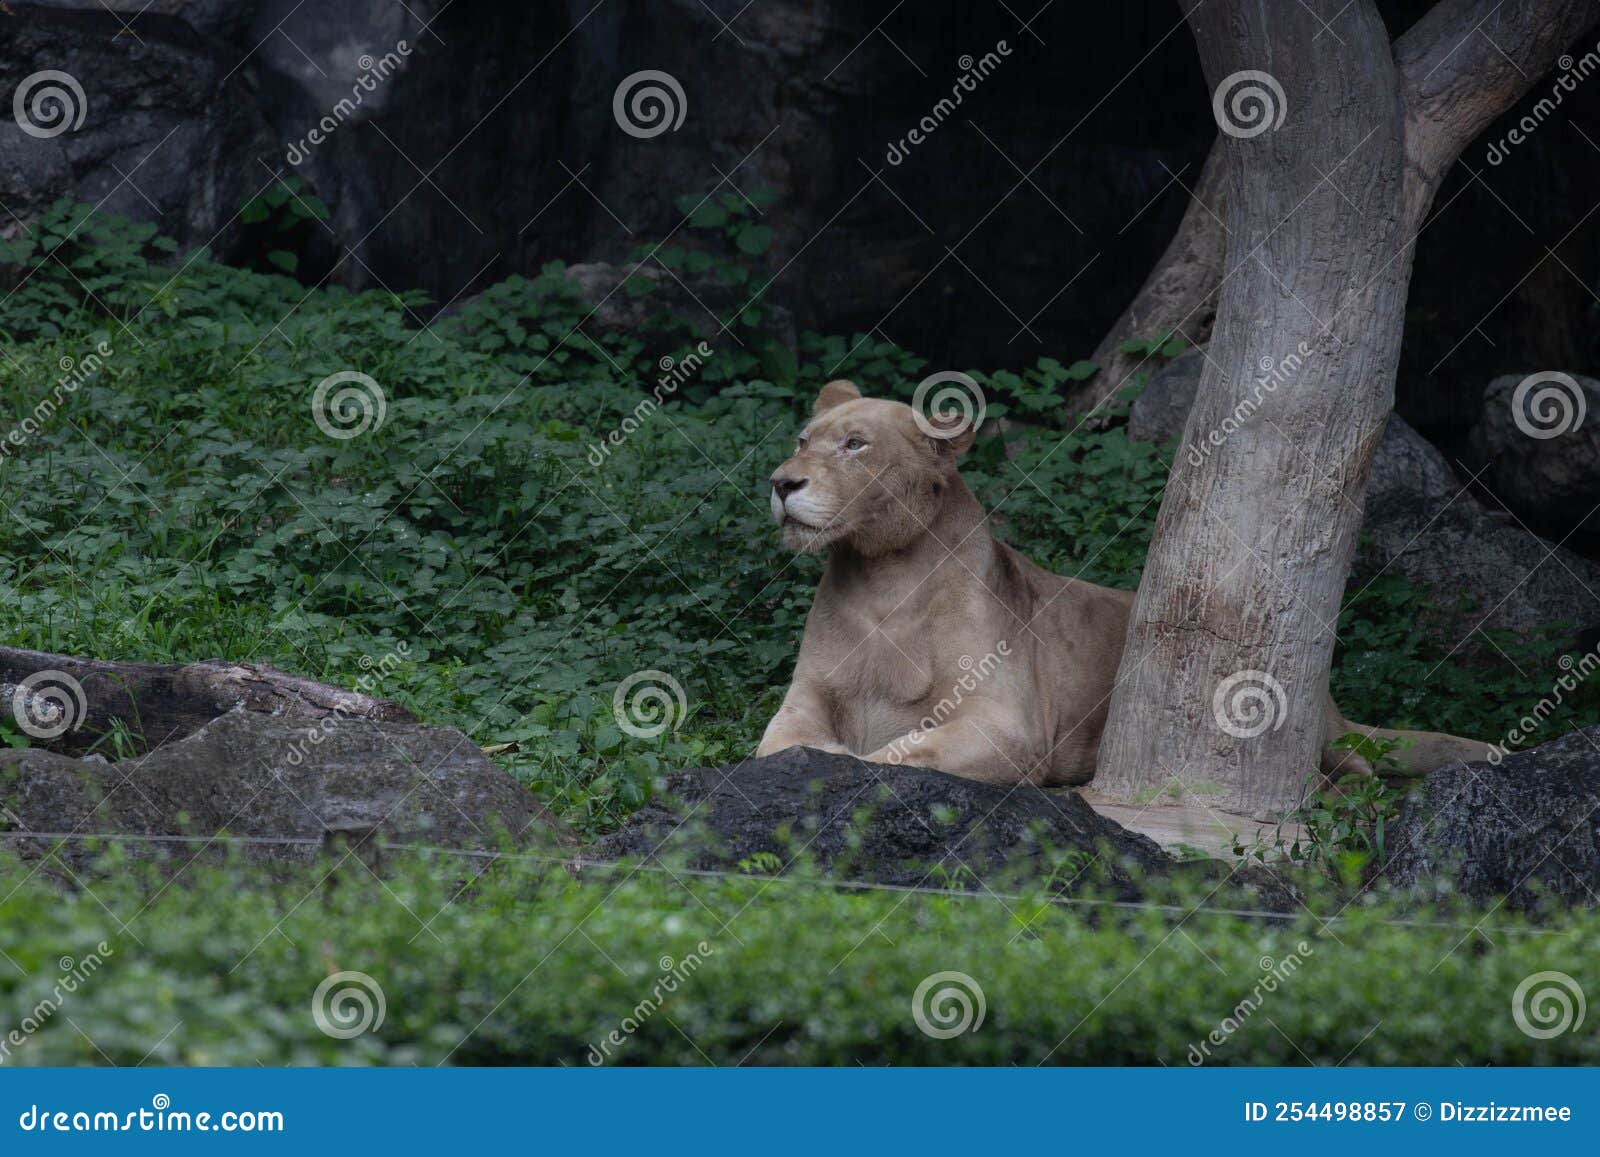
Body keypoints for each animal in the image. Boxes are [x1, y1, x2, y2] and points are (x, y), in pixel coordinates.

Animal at [756, 378, 1487, 792]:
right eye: (803, 438)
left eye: (856, 444)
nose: (782, 482)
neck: (885, 575)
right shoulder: (806, 693)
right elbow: (781, 740)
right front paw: (818, 750)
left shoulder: (1010, 722)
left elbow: (901, 753)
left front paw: (851, 756)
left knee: (1357, 765)